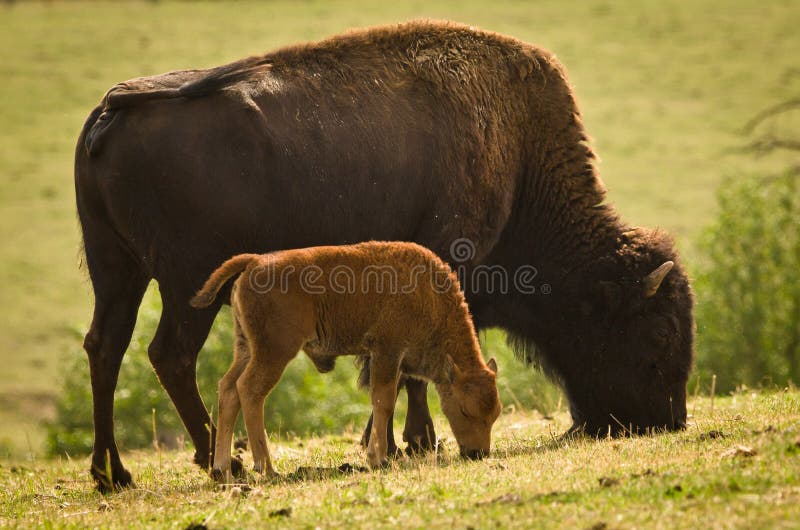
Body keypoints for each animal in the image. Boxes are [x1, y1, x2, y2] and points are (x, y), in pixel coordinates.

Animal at [74, 21, 693, 492]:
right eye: (658, 334)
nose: (667, 419)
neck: (516, 153)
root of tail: (110, 111)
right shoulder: (448, 262)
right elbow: (407, 373)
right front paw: (413, 443)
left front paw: (393, 443)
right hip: (184, 285)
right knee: (171, 355)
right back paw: (216, 461)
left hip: (117, 272)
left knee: (106, 348)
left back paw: (114, 474)